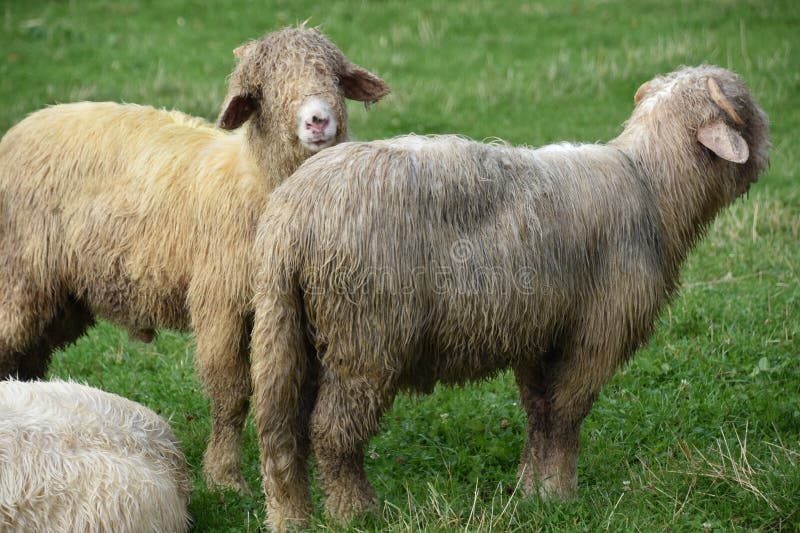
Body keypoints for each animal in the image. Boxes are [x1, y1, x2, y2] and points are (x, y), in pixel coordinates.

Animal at [0, 26, 389, 495]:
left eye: (334, 76)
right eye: (264, 91)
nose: (317, 120)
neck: (254, 180)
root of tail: (22, 126)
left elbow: (303, 392)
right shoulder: (220, 303)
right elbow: (232, 393)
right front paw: (225, 478)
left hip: (61, 298)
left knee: (29, 357)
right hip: (18, 275)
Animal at [248, 65, 770, 529]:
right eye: (746, 110)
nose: (768, 150)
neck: (653, 187)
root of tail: (293, 216)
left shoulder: (540, 335)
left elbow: (540, 412)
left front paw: (531, 491)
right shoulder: (596, 333)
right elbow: (567, 413)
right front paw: (561, 494)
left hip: (286, 324)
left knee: (281, 430)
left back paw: (291, 515)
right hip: (366, 336)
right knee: (331, 430)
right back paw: (355, 512)